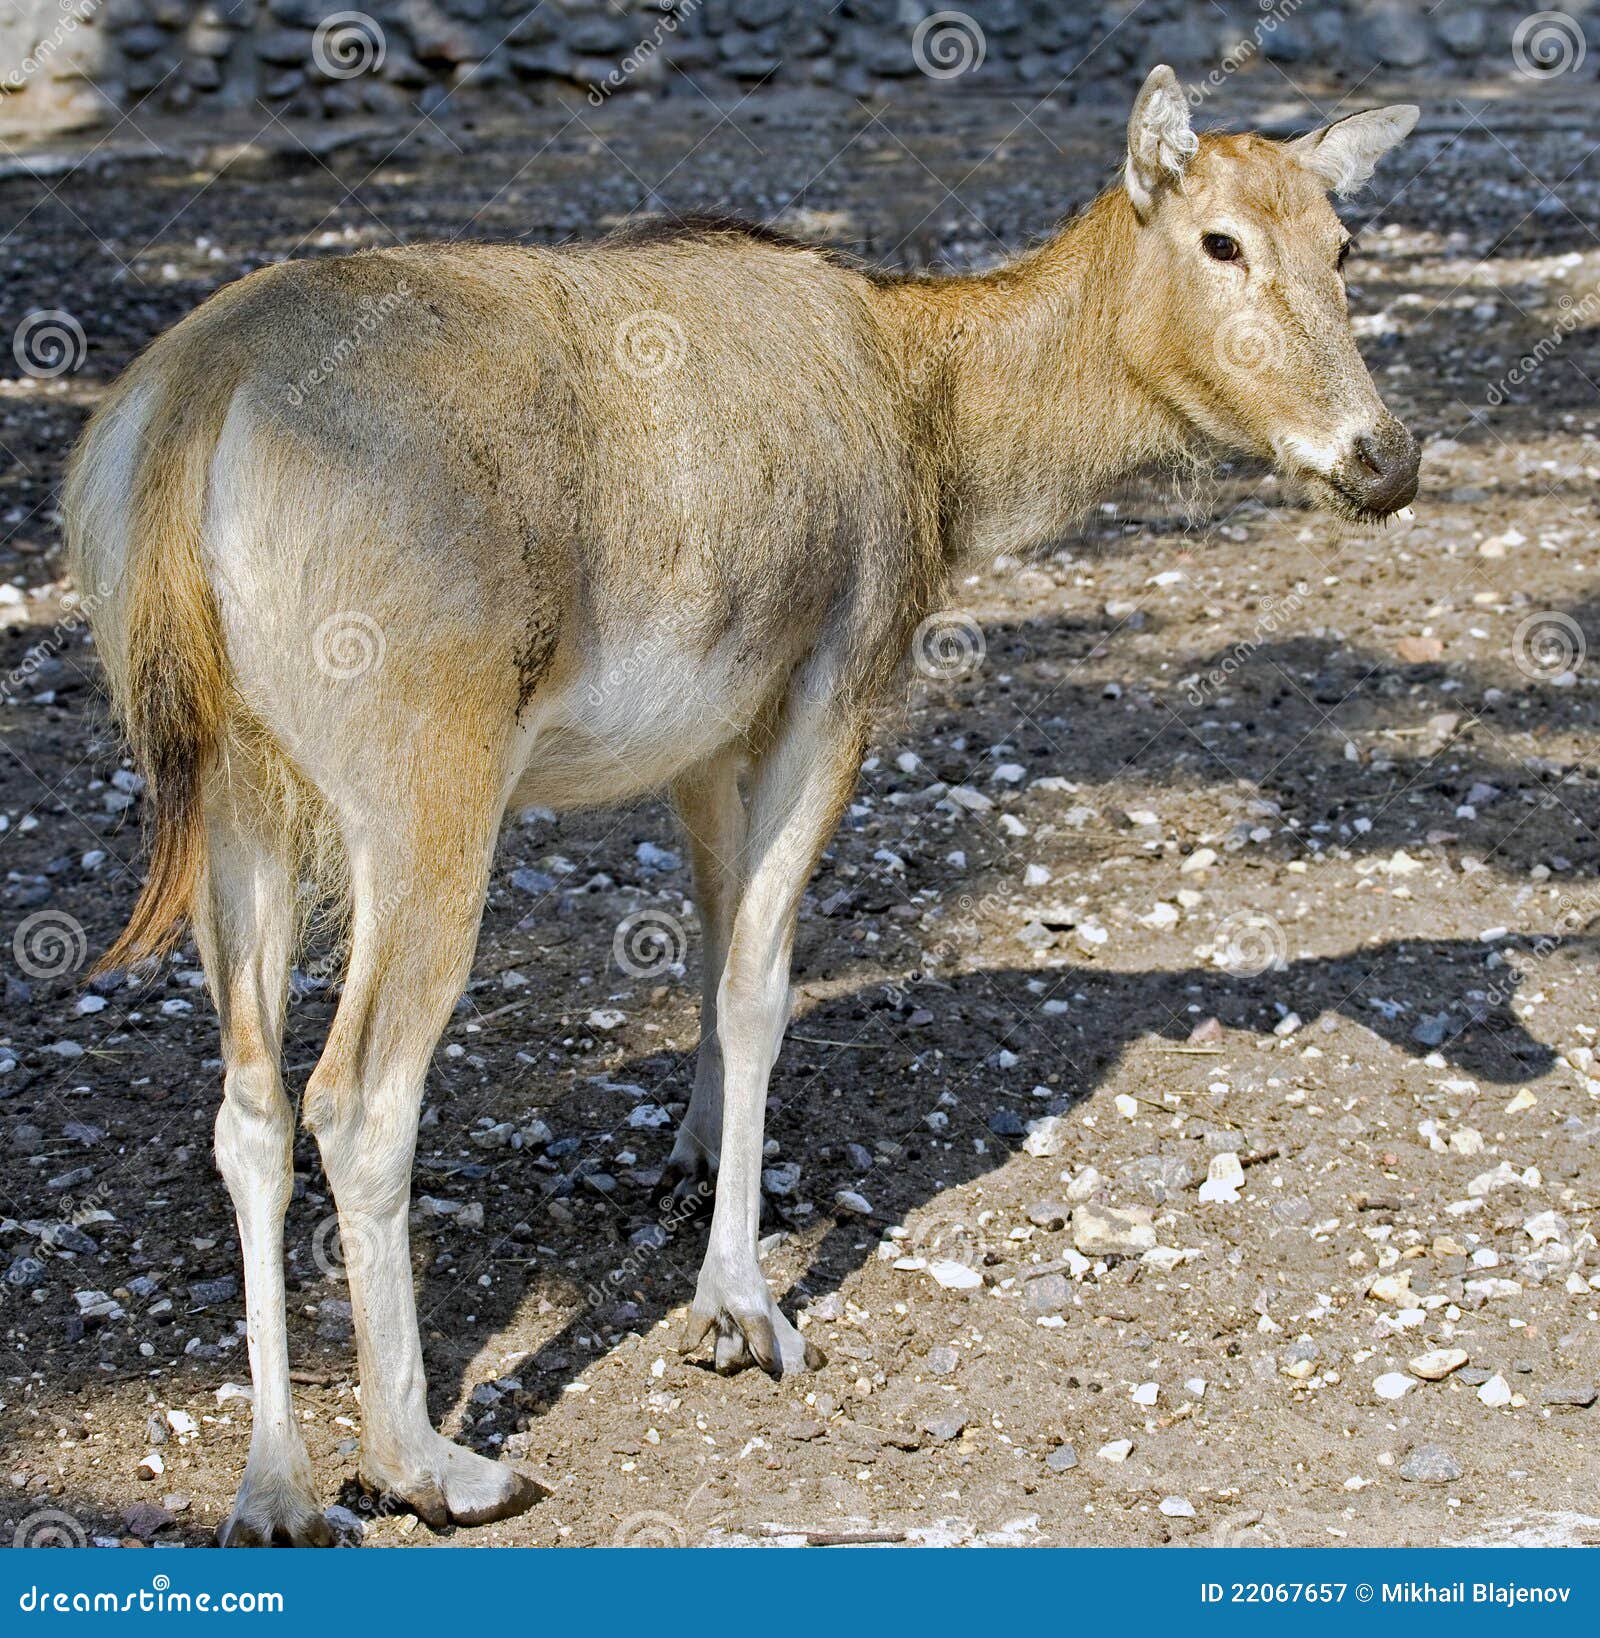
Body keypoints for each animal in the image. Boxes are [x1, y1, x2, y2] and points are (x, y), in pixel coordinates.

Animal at [63, 67, 1420, 1545]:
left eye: (1344, 240)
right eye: (1221, 240)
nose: (1384, 458)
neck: (936, 430)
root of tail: (185, 426)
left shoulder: (709, 728)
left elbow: (711, 946)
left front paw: (687, 1154)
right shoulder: (839, 668)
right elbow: (763, 978)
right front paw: (743, 1314)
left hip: (229, 784)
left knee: (247, 1102)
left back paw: (274, 1488)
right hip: (421, 767)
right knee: (359, 1093)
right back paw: (434, 1464)